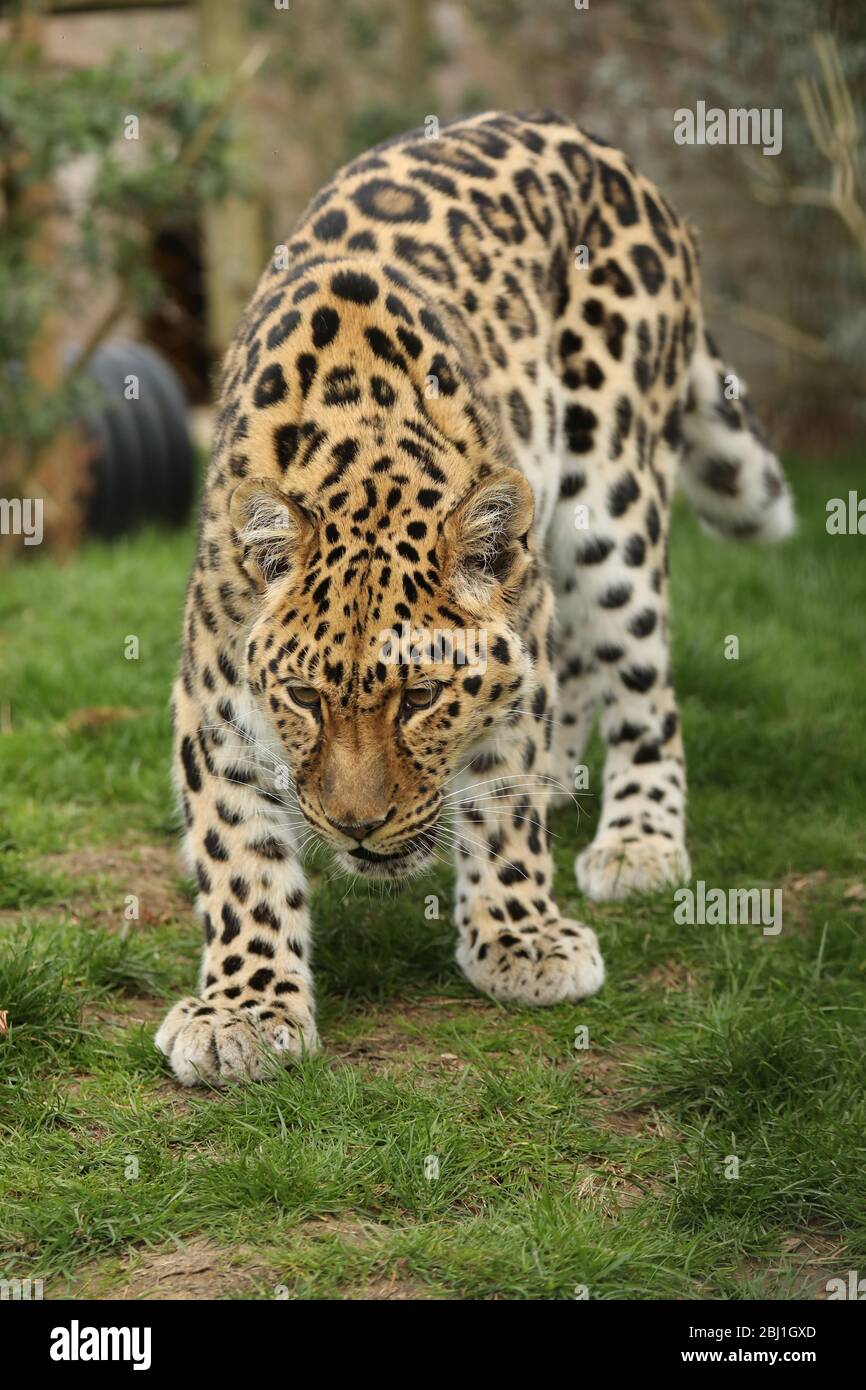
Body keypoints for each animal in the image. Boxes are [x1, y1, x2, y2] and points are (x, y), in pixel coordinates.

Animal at [155, 110, 794, 1085]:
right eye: (303, 697)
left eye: (421, 697)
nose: (358, 827)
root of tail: (595, 144)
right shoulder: (214, 691)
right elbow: (238, 853)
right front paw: (245, 1007)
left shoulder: (513, 642)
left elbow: (505, 795)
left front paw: (521, 939)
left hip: (614, 506)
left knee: (642, 683)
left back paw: (639, 841)